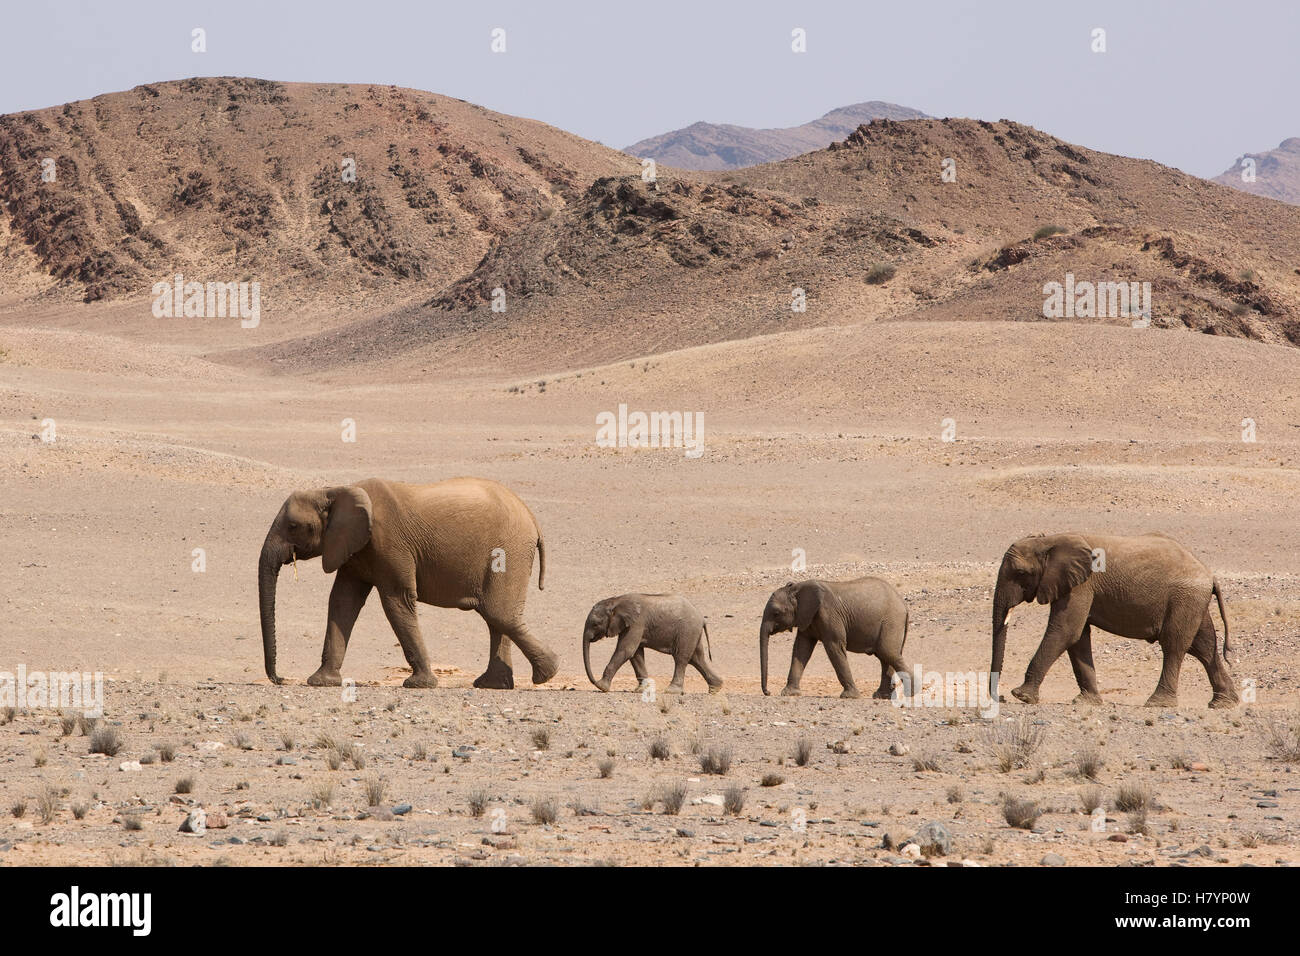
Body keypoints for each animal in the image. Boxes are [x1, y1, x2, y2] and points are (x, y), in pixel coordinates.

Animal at [257, 476, 559, 690]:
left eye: (293, 527)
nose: (280, 679)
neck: (335, 490)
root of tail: (532, 518)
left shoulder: (389, 543)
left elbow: (397, 601)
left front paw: (418, 684)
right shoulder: (353, 548)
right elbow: (343, 602)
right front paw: (320, 682)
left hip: (508, 552)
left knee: (498, 613)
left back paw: (547, 673)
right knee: (495, 616)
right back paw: (494, 685)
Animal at [582, 593, 723, 694]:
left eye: (596, 624)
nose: (594, 681)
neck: (616, 601)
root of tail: (702, 618)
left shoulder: (637, 623)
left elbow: (626, 650)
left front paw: (601, 687)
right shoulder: (630, 625)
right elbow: (635, 654)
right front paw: (640, 690)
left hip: (687, 631)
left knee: (681, 658)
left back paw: (671, 691)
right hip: (692, 633)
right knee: (697, 659)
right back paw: (716, 688)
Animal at [760, 577, 913, 699]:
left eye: (776, 613)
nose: (768, 692)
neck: (798, 588)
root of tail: (904, 605)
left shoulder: (829, 614)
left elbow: (834, 647)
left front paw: (849, 696)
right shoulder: (806, 618)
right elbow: (801, 648)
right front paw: (789, 693)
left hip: (891, 622)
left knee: (887, 652)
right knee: (885, 656)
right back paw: (881, 696)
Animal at [990, 532, 1236, 708]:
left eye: (1020, 573)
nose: (999, 698)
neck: (1049, 540)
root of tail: (1210, 575)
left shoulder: (1081, 586)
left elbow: (1065, 631)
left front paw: (1022, 696)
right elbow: (1078, 638)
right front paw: (1087, 702)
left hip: (1185, 599)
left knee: (1174, 646)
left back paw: (1158, 704)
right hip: (1193, 601)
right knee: (1204, 647)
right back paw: (1223, 704)